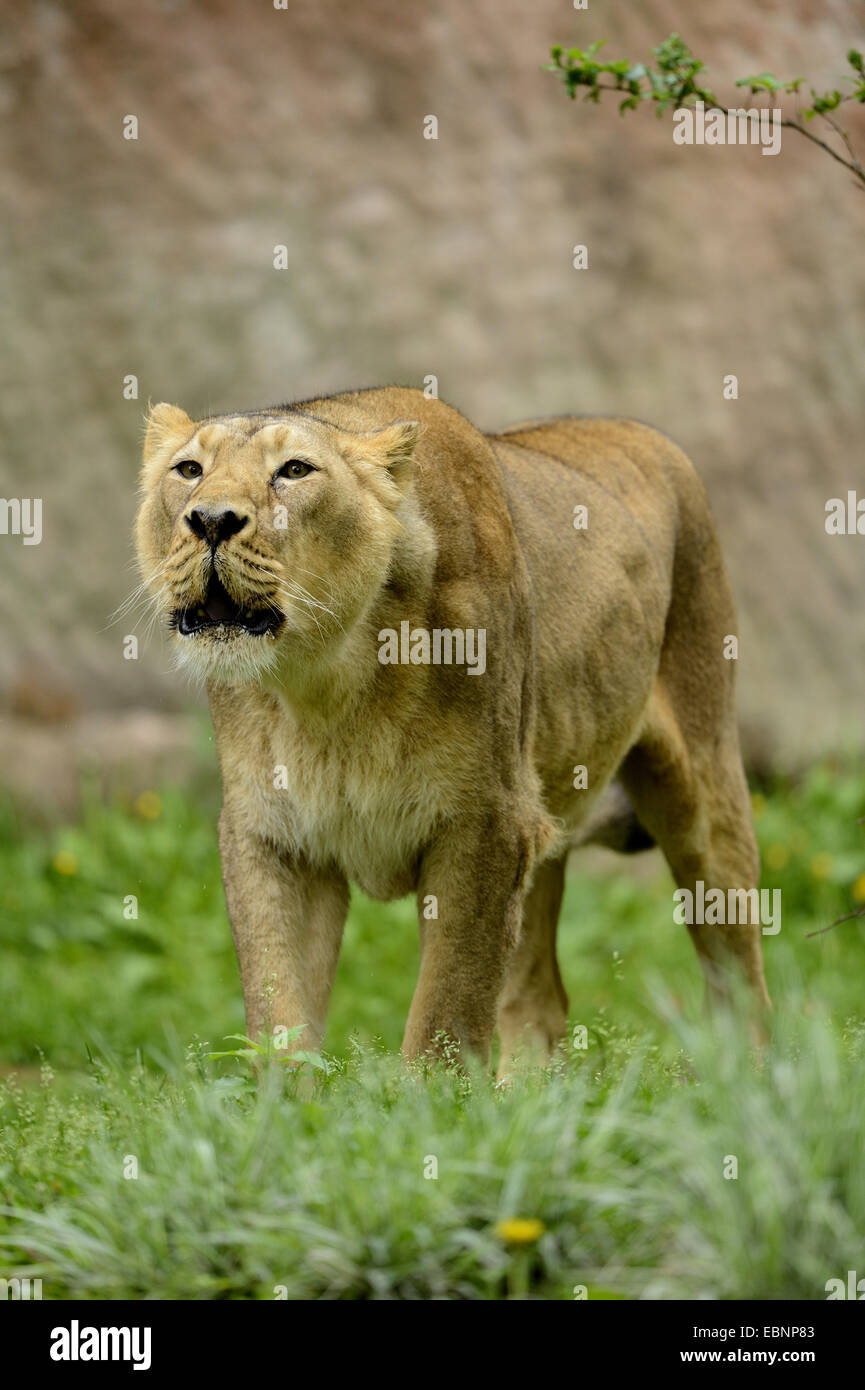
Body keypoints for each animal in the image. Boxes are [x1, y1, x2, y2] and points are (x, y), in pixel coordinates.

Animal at [134, 386, 770, 1075]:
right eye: (189, 470)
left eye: (296, 471)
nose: (210, 521)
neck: (329, 685)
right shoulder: (272, 833)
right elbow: (279, 1014)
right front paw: (283, 1104)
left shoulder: (487, 823)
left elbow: (446, 1012)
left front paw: (426, 1103)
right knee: (539, 998)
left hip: (701, 786)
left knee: (738, 972)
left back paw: (745, 1081)